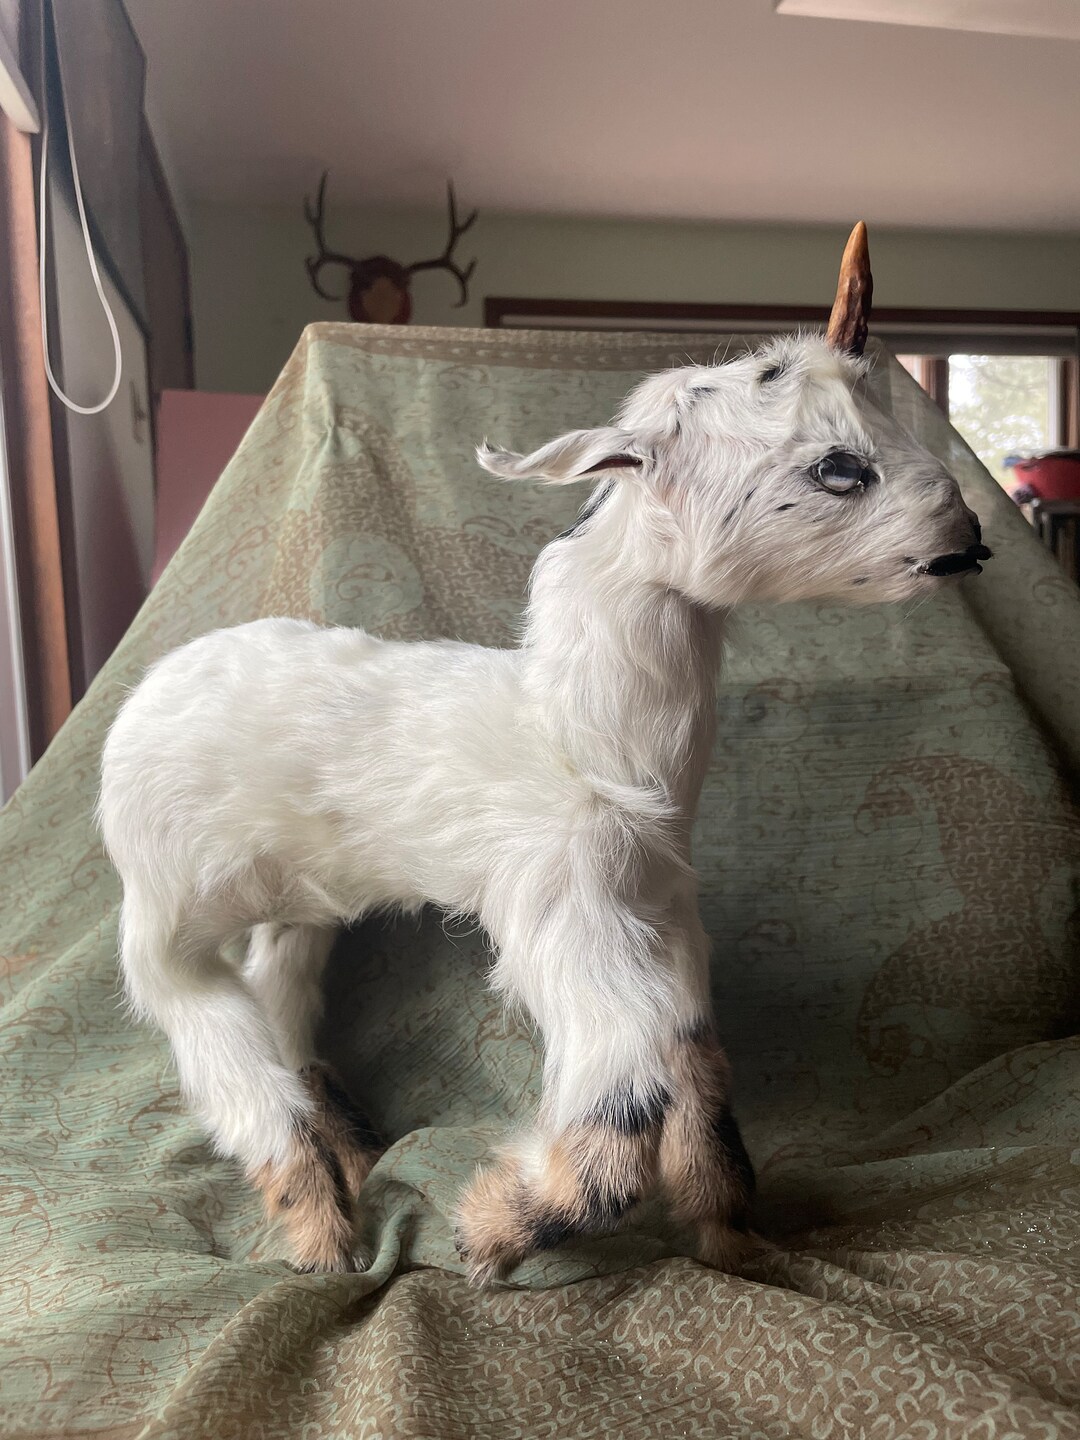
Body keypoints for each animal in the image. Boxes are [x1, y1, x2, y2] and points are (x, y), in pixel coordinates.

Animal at [99, 226, 990, 1283]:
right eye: (839, 468)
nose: (970, 535)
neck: (581, 741)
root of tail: (158, 681)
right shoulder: (563, 911)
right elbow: (623, 1098)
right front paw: (490, 1231)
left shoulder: (663, 917)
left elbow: (699, 1080)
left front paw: (731, 1240)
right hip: (164, 910)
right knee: (223, 1049)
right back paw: (321, 1236)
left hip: (297, 898)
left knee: (281, 997)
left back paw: (349, 1159)